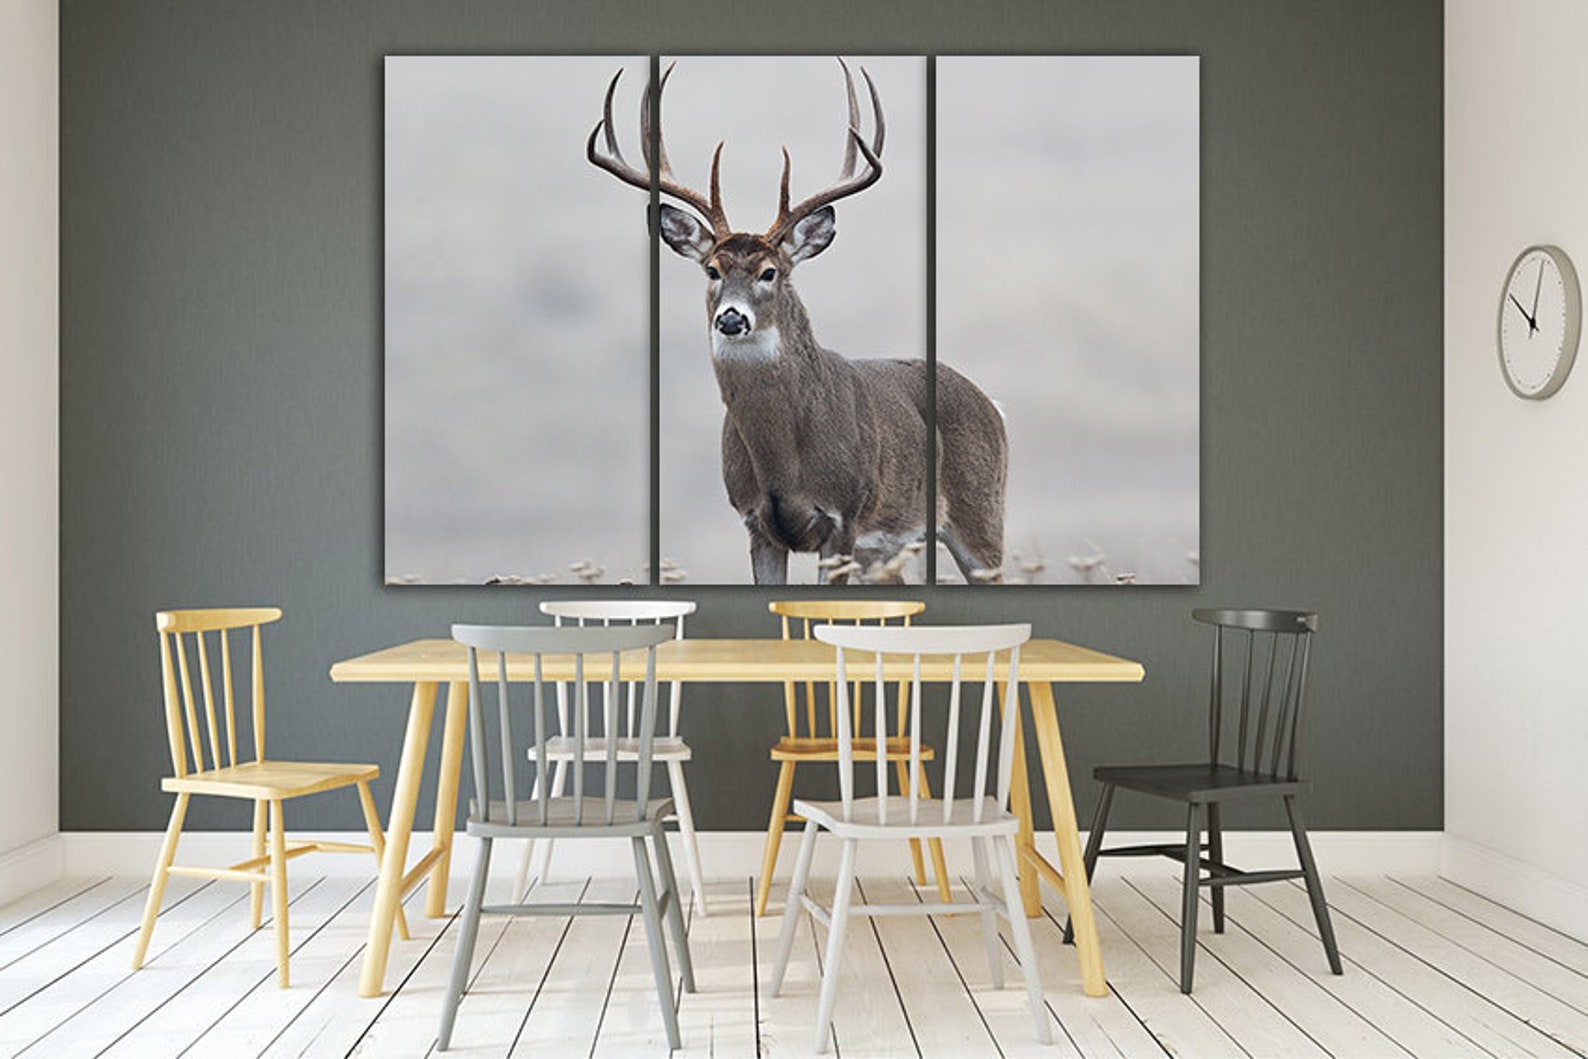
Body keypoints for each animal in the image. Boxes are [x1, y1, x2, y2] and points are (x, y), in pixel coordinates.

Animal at [589, 60, 1007, 584]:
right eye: (712, 270)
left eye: (770, 272)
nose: (731, 318)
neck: (784, 462)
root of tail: (992, 406)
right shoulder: (756, 524)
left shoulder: (844, 518)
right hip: (888, 550)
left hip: (981, 516)